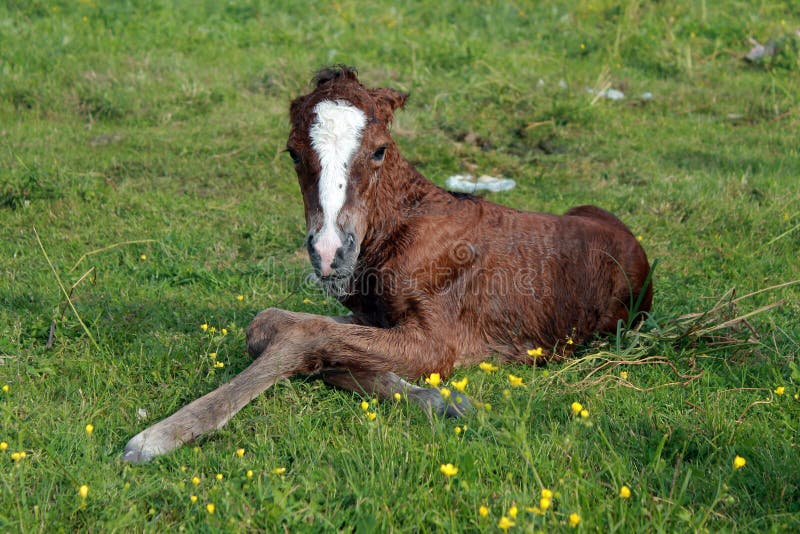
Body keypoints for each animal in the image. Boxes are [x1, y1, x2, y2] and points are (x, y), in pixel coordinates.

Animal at [123, 66, 652, 463]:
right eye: (292, 153)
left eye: (378, 150)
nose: (330, 254)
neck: (399, 228)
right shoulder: (372, 317)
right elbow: (274, 326)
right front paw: (441, 400)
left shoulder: (438, 341)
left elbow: (305, 336)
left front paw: (163, 434)